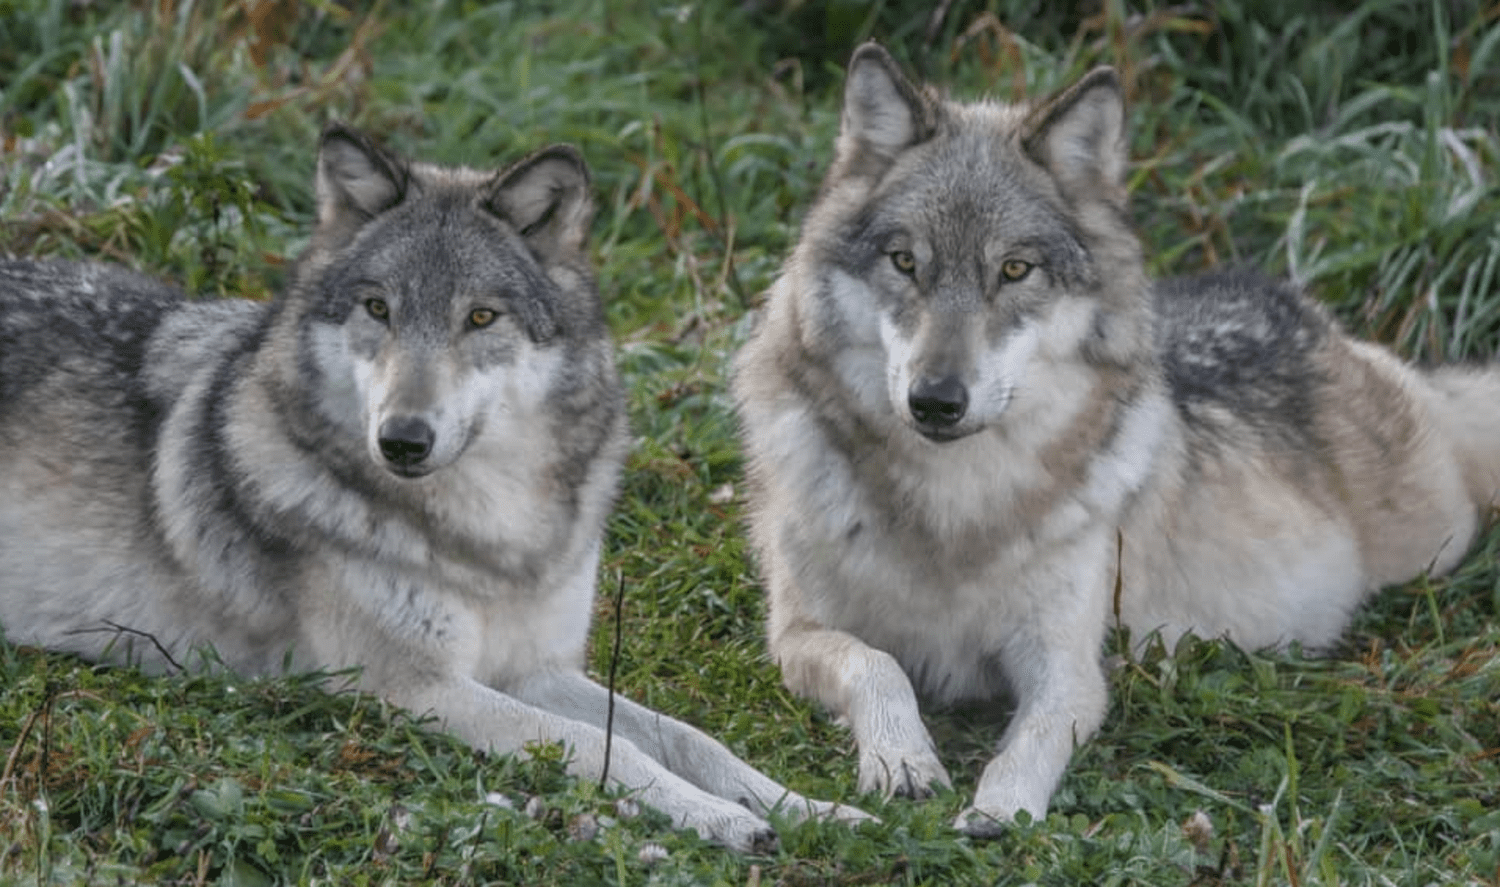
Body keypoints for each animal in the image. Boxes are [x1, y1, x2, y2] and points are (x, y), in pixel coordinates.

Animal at [0, 124, 868, 852]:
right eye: (377, 308)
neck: (491, 539)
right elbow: (603, 745)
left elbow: (686, 734)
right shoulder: (419, 687)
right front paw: (718, 817)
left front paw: (806, 805)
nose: (402, 439)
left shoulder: (536, 668)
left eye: (480, 317)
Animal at [732, 42, 1500, 835]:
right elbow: (876, 665)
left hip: (1437, 541)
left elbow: (1032, 738)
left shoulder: (1067, 666)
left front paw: (1000, 809)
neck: (955, 509)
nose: (937, 400)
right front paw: (903, 758)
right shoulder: (796, 635)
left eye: (1015, 269)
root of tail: (1311, 314)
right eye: (905, 262)